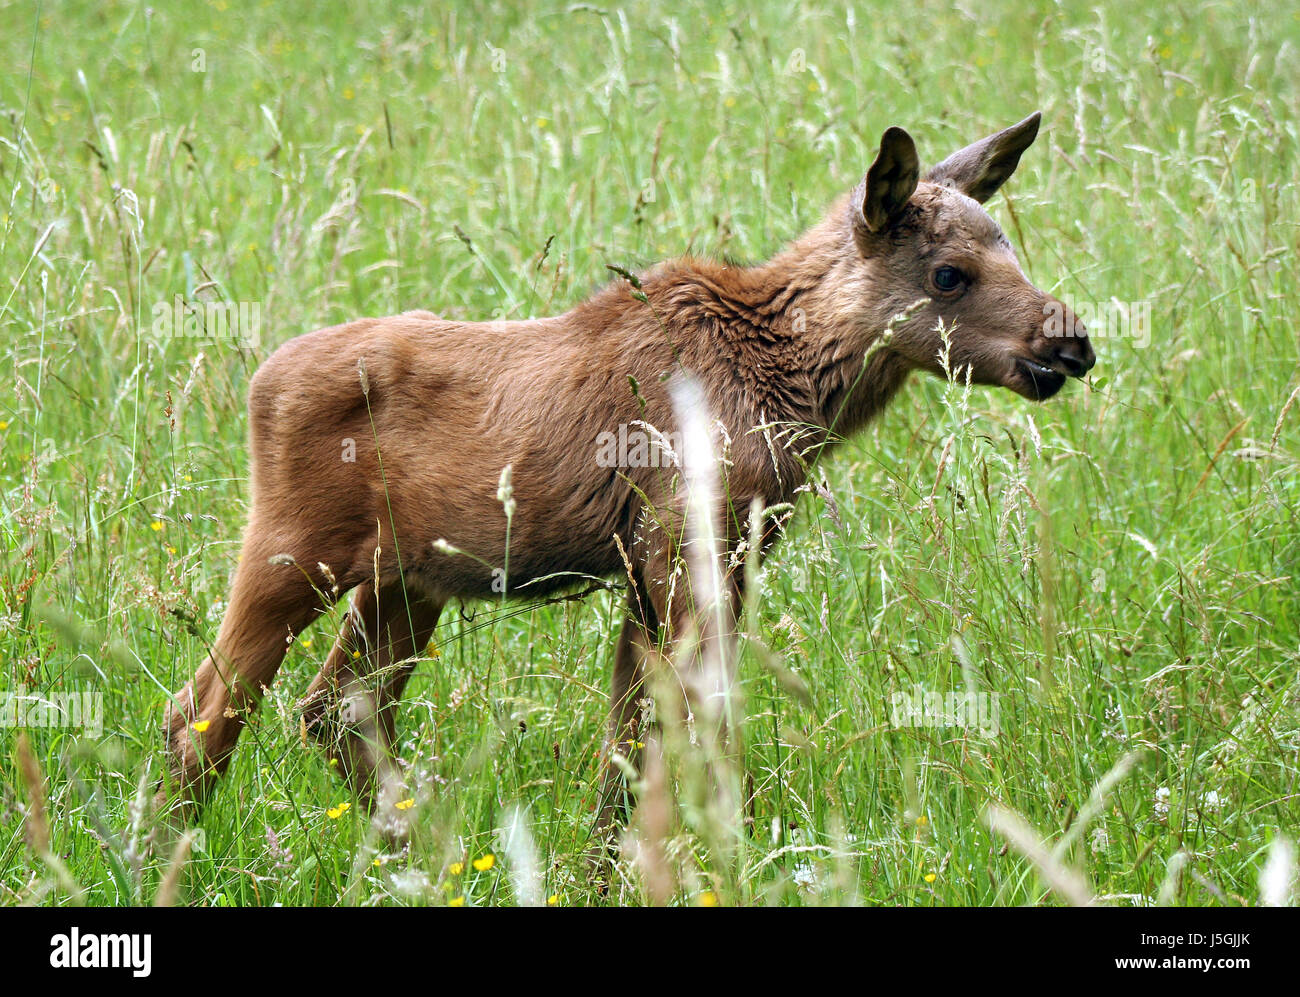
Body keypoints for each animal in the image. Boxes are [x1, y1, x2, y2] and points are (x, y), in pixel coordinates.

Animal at [157, 112, 1095, 852]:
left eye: (1008, 246)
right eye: (949, 273)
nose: (1072, 342)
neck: (790, 386)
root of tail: (259, 383)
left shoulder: (664, 566)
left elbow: (630, 743)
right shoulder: (683, 543)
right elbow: (698, 728)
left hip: (406, 579)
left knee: (335, 710)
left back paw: (417, 849)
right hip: (291, 550)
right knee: (202, 711)